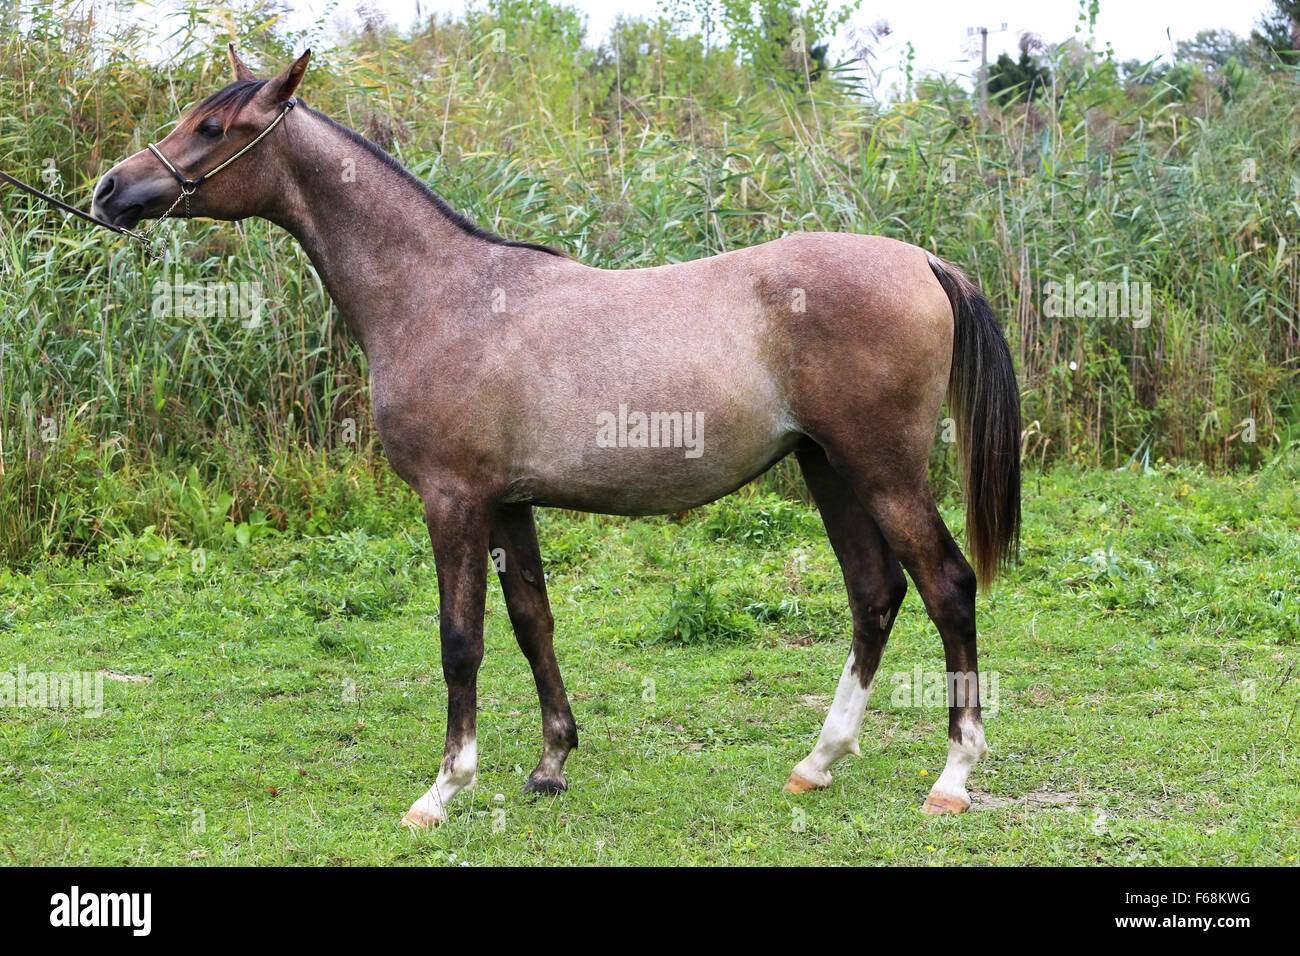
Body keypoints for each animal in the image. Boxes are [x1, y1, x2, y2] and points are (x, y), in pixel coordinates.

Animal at [91, 48, 1021, 828]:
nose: (108, 191)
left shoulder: (453, 499)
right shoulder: (509, 504)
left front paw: (443, 789)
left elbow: (460, 641)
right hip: (829, 468)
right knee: (875, 594)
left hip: (882, 469)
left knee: (946, 585)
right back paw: (817, 763)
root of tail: (923, 261)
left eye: (212, 128)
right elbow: (531, 621)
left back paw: (952, 778)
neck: (442, 293)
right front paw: (550, 764)